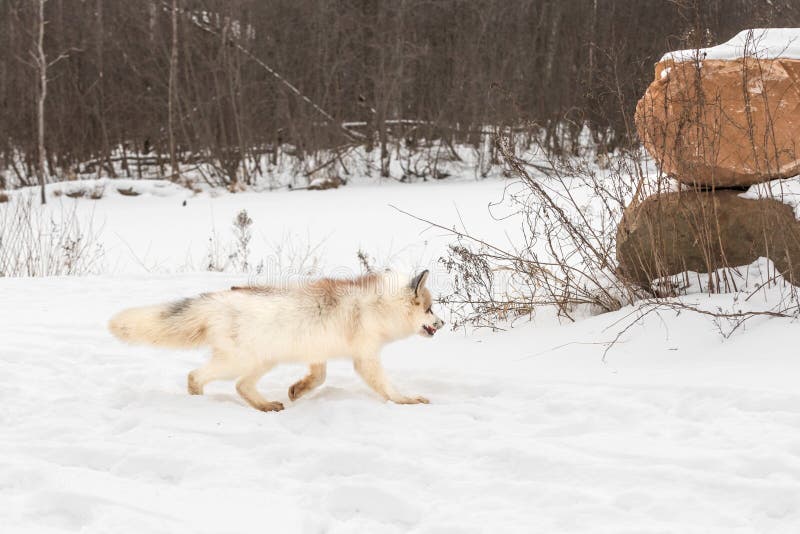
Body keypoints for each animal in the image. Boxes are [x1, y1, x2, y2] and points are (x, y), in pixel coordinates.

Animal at [108, 270, 444, 412]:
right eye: (430, 309)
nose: (442, 324)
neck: (376, 306)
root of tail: (217, 300)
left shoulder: (318, 352)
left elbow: (318, 378)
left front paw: (297, 390)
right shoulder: (365, 358)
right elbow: (389, 389)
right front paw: (407, 401)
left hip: (262, 362)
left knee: (241, 387)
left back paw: (265, 405)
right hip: (237, 362)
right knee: (195, 376)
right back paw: (200, 402)